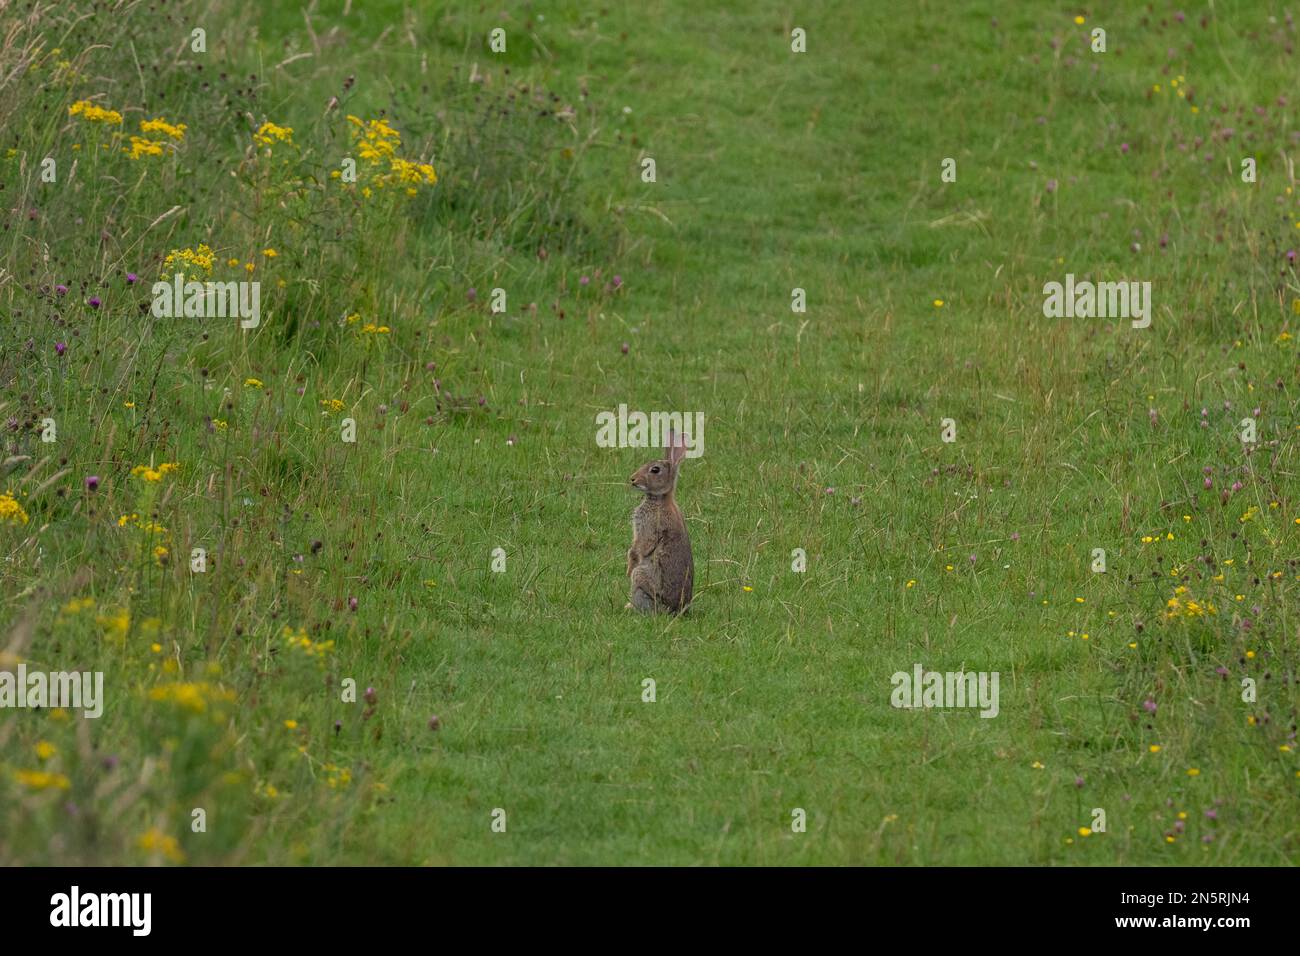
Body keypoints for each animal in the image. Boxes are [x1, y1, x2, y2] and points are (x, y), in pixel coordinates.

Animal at [625, 428, 693, 614]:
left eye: (655, 470)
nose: (633, 479)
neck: (660, 498)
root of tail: (674, 610)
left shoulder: (648, 528)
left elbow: (638, 549)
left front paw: (627, 569)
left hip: (642, 580)